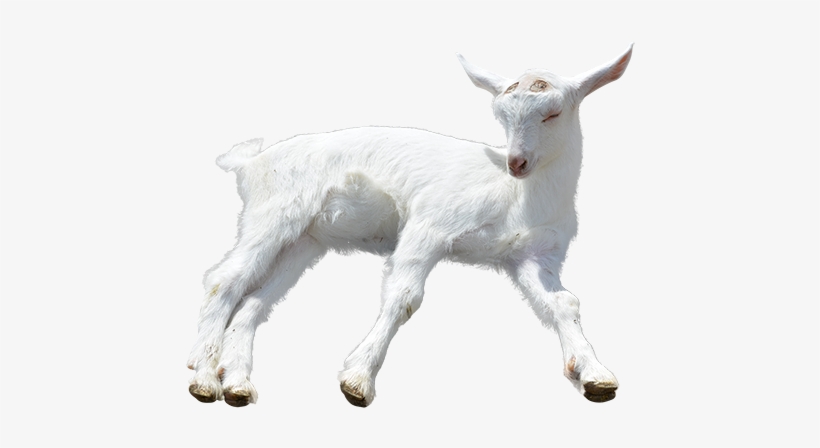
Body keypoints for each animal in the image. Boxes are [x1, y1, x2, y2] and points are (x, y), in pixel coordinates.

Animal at [187, 45, 633, 407]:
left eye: (553, 113)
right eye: (501, 116)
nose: (516, 162)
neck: (516, 196)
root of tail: (250, 162)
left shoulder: (531, 255)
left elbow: (564, 303)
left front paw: (596, 377)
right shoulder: (430, 225)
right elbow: (404, 297)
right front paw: (357, 380)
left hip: (304, 241)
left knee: (254, 301)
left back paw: (237, 385)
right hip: (274, 213)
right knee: (223, 279)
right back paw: (204, 379)